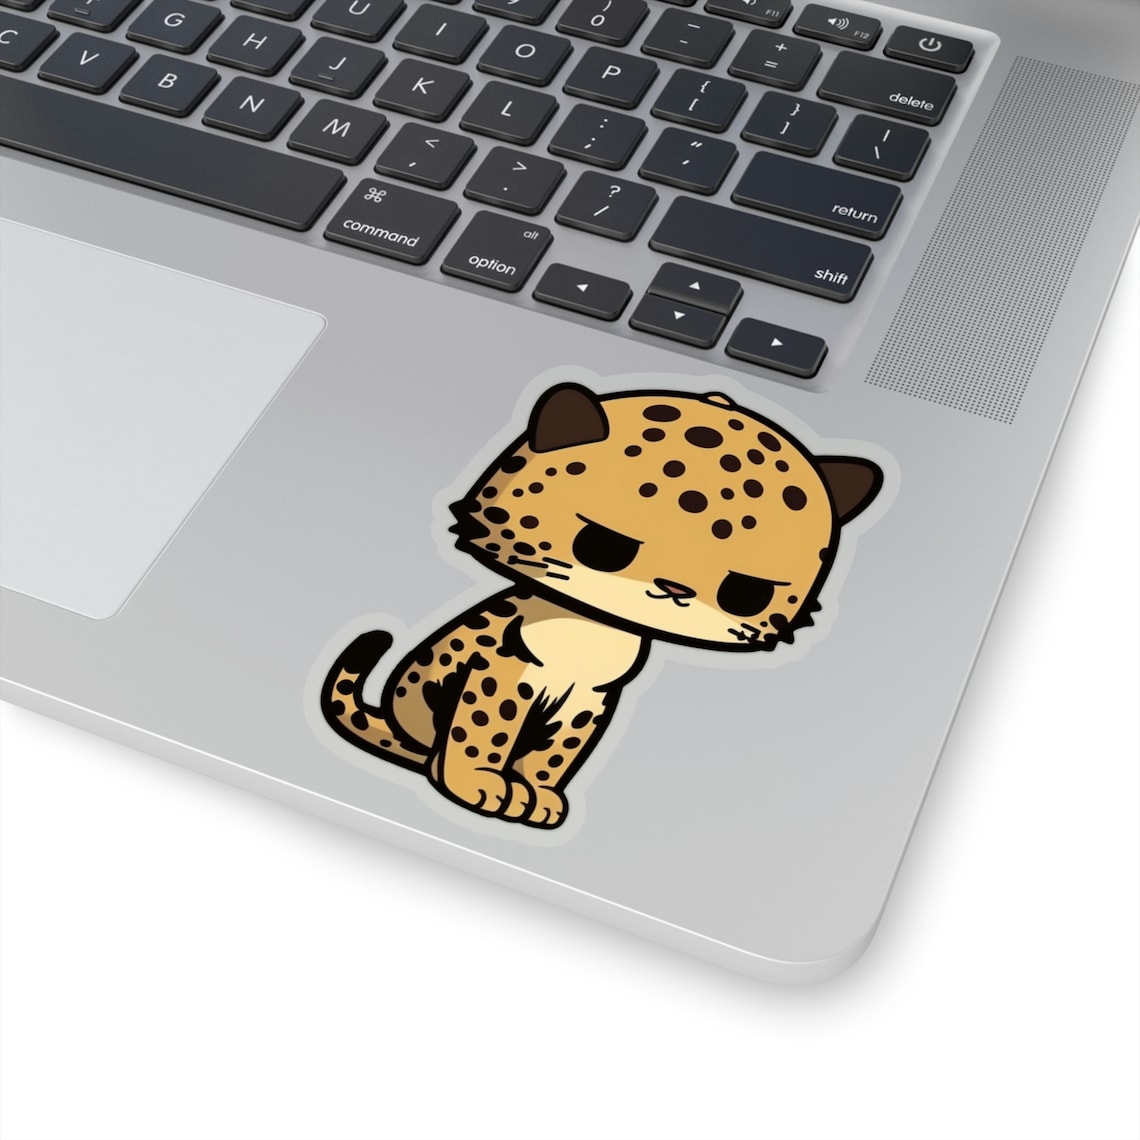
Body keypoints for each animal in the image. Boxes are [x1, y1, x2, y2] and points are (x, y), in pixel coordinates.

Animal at [320, 382, 883, 829]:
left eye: (747, 593)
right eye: (602, 546)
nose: (674, 589)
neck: (592, 631)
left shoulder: (589, 702)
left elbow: (554, 757)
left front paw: (540, 795)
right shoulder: (501, 676)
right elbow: (485, 732)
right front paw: (480, 782)